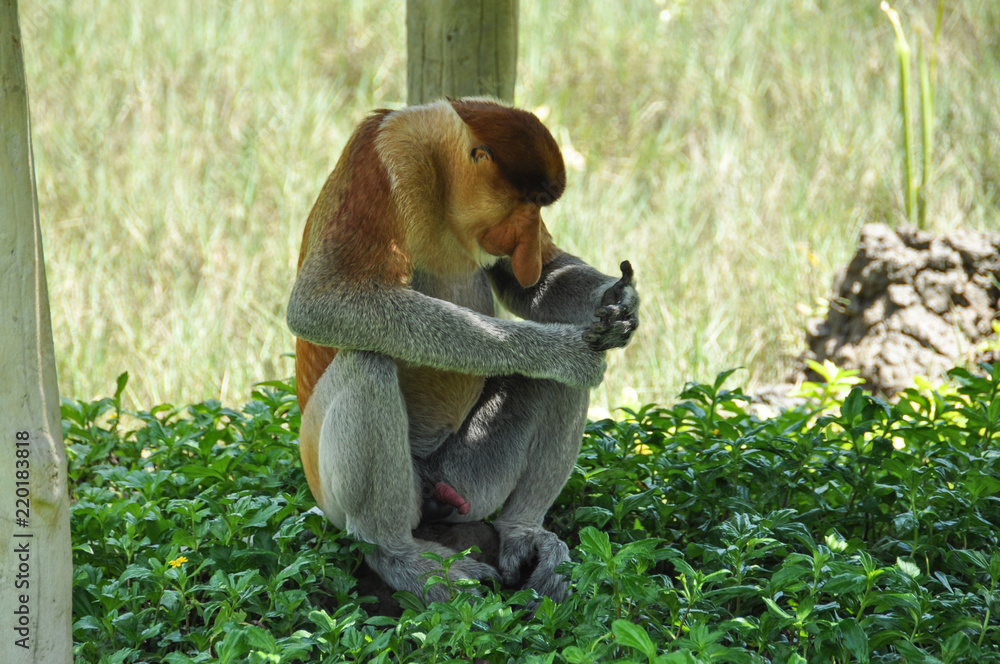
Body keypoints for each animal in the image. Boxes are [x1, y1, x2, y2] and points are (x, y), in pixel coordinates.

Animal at [287, 98, 638, 603]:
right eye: (526, 202)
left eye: (539, 207)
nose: (528, 244)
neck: (439, 178)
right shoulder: (380, 161)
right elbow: (320, 301)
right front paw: (557, 348)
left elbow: (530, 284)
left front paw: (621, 302)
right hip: (329, 489)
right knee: (367, 362)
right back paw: (403, 559)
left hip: (470, 480)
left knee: (557, 392)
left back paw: (524, 533)